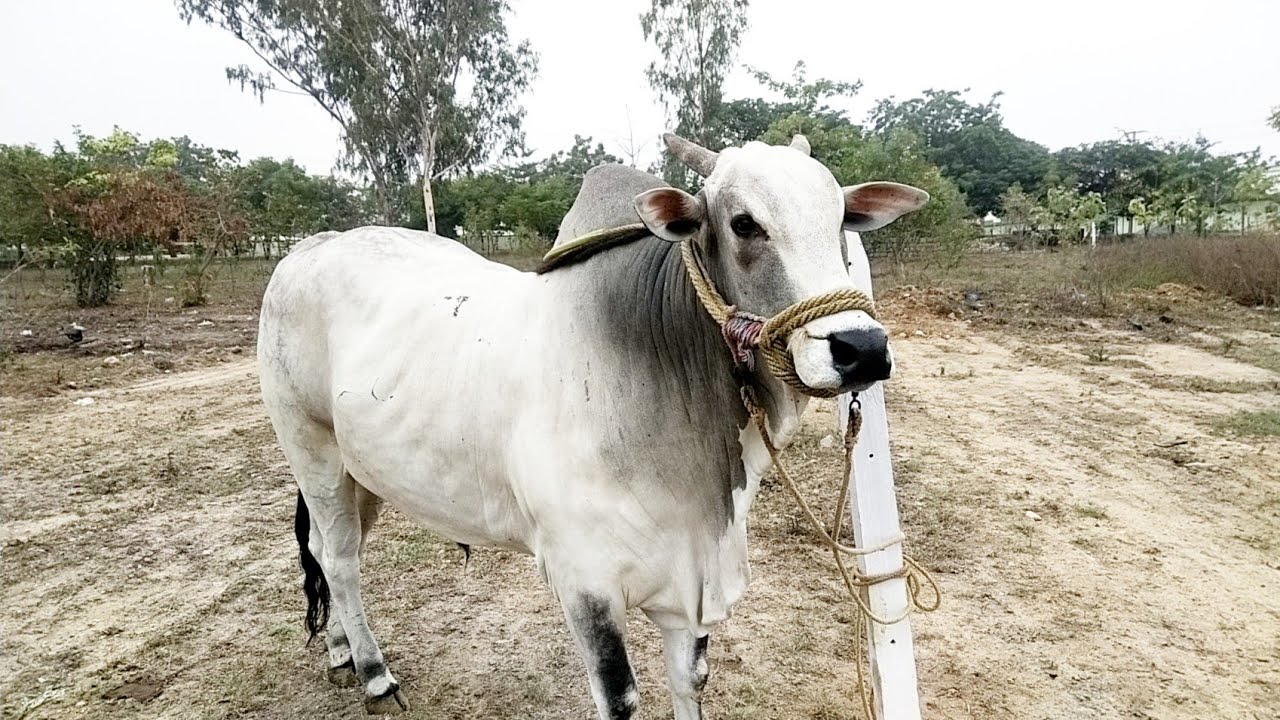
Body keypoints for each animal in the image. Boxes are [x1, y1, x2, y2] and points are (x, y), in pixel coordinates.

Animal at [256, 133, 928, 719]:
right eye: (744, 223)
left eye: (840, 219)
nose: (862, 349)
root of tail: (306, 248)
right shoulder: (585, 584)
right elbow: (621, 697)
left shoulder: (691, 583)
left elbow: (690, 679)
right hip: (312, 453)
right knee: (341, 558)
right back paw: (374, 673)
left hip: (363, 473)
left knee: (325, 551)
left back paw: (342, 652)